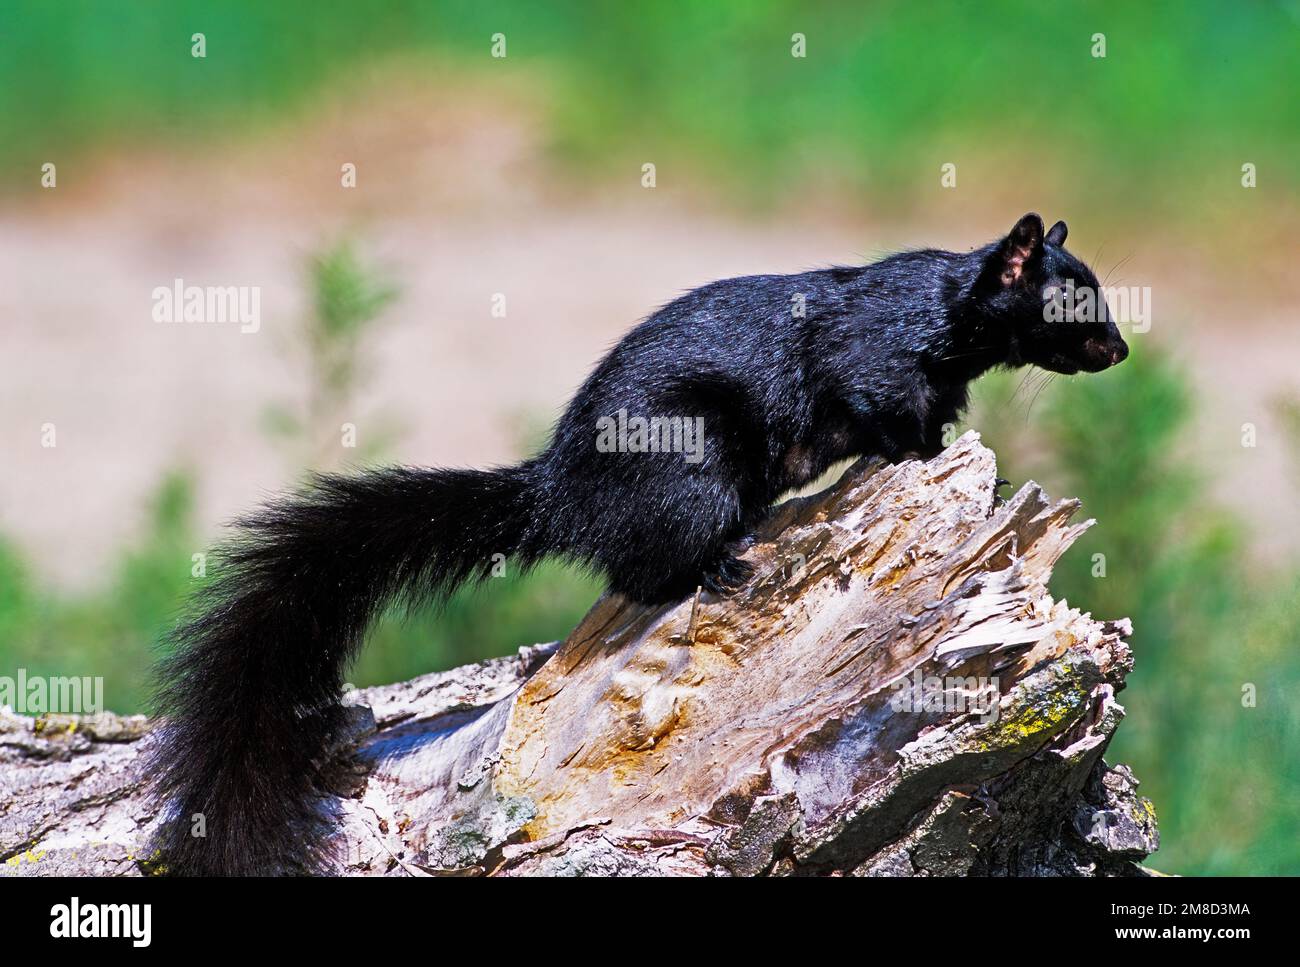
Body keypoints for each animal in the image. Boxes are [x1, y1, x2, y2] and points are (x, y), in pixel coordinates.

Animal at [149, 212, 1129, 875]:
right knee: (646, 561)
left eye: (1099, 291)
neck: (943, 313)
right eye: (1071, 300)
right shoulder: (876, 362)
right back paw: (722, 560)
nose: (1119, 347)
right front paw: (930, 461)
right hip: (692, 462)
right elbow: (889, 415)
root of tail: (557, 491)